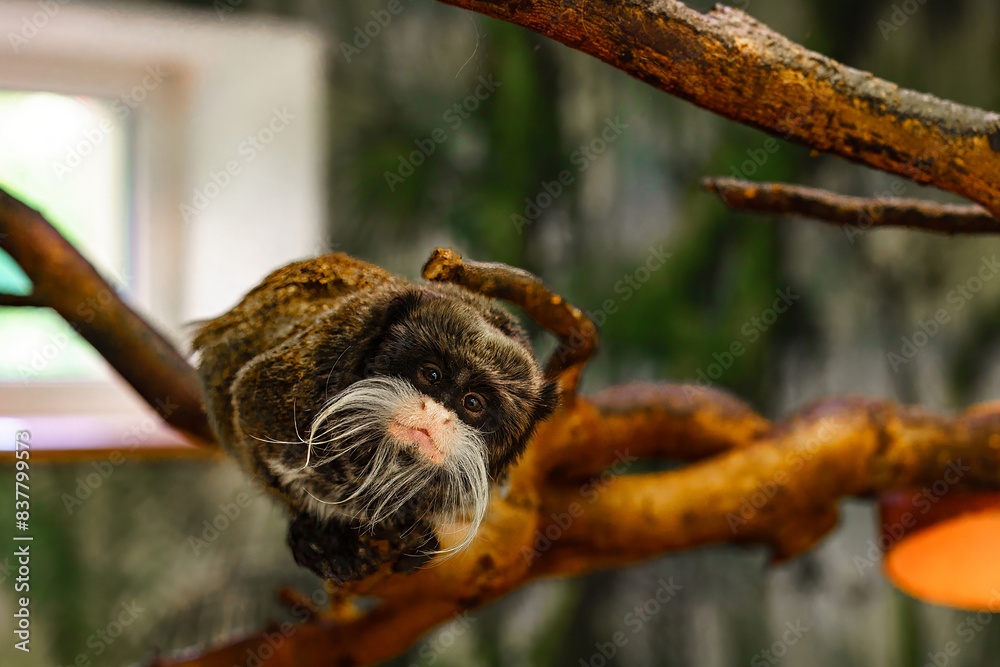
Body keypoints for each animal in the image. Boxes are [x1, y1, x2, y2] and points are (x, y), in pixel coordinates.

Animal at [192, 252, 559, 583]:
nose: (435, 415)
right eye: (432, 374)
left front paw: (411, 533)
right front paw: (320, 534)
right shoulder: (303, 377)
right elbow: (250, 407)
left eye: (472, 403)